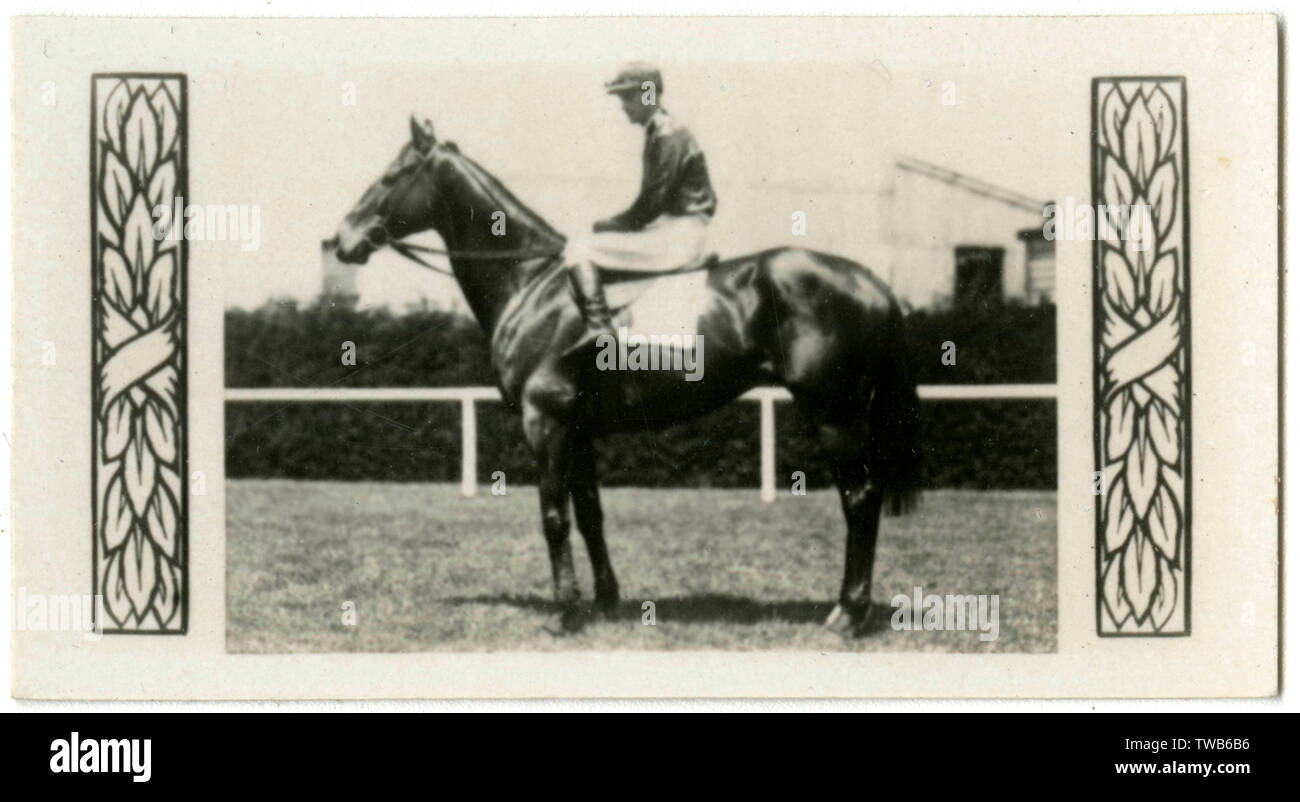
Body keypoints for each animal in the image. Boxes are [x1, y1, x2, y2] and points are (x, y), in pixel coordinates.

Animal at [331, 117, 921, 636]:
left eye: (391, 176)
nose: (340, 240)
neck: (533, 282)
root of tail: (872, 282)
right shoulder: (578, 428)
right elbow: (591, 514)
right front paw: (604, 602)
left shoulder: (544, 420)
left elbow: (553, 515)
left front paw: (566, 614)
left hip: (833, 414)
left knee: (860, 498)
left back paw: (848, 614)